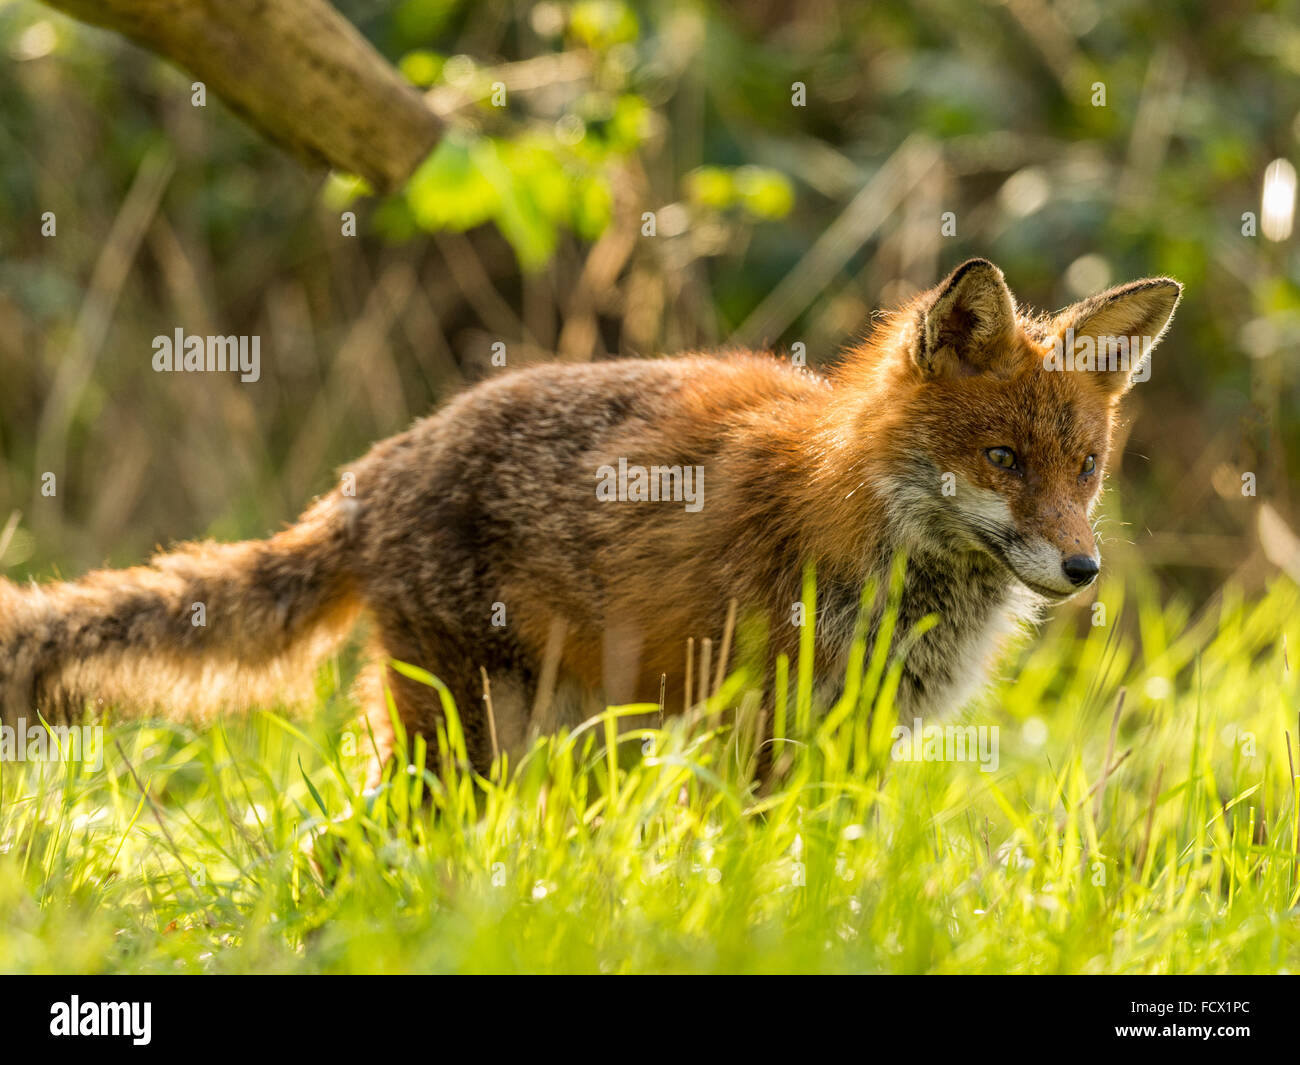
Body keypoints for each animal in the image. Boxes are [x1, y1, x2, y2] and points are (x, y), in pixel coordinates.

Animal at [0, 259, 1180, 784]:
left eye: (1084, 468)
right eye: (1001, 461)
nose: (1081, 568)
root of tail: (371, 468)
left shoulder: (854, 738)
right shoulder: (766, 730)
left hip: (575, 738)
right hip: (471, 739)